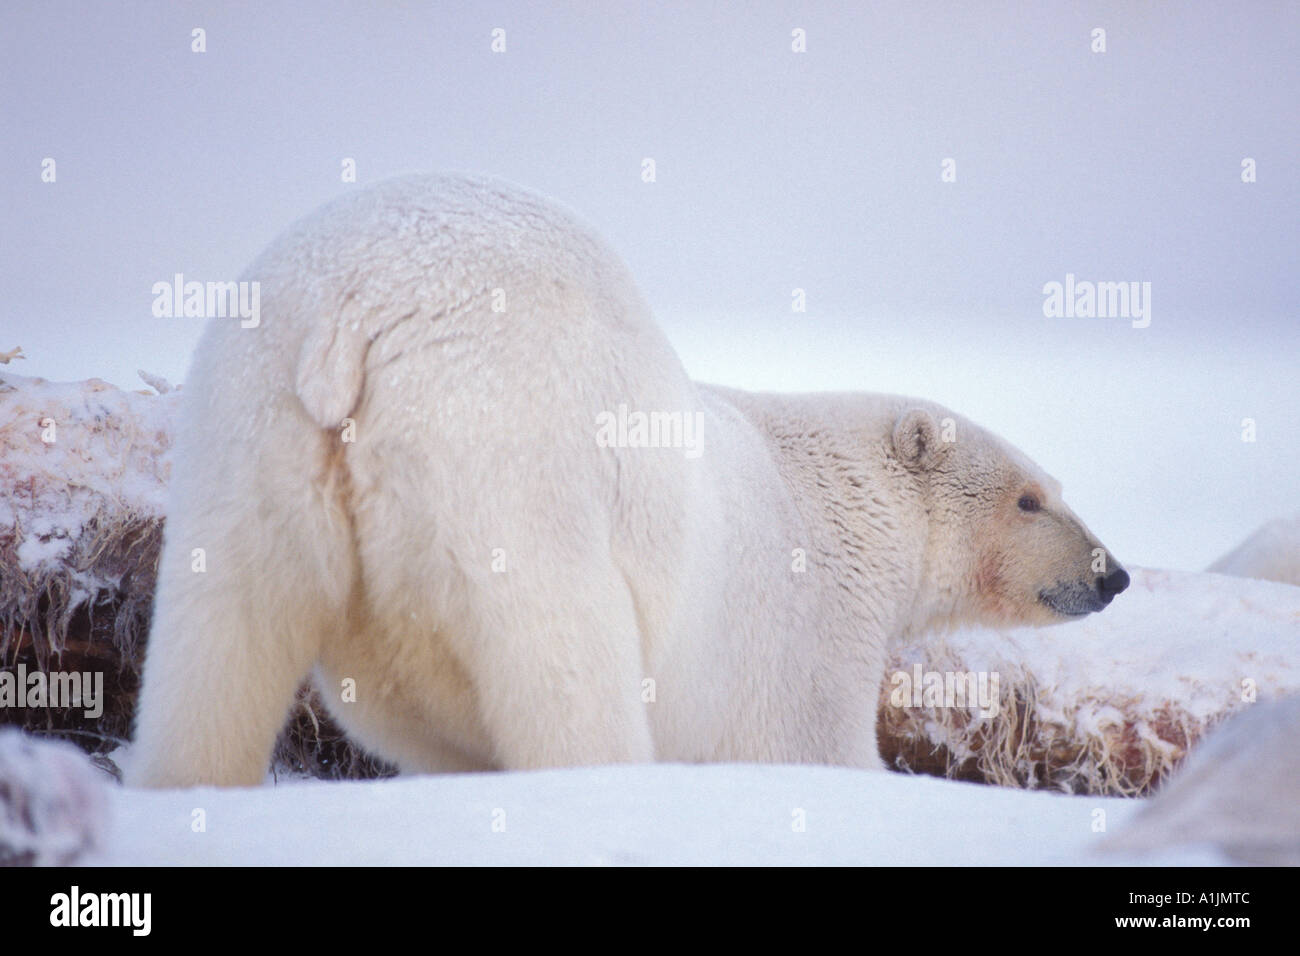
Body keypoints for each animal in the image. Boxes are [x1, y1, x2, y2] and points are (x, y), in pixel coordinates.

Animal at [127, 173, 1129, 787]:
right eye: (1032, 497)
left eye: (1057, 485)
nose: (1112, 573)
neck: (849, 496)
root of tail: (356, 307)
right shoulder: (807, 625)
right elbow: (809, 746)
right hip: (517, 443)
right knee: (564, 654)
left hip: (252, 415)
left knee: (222, 633)